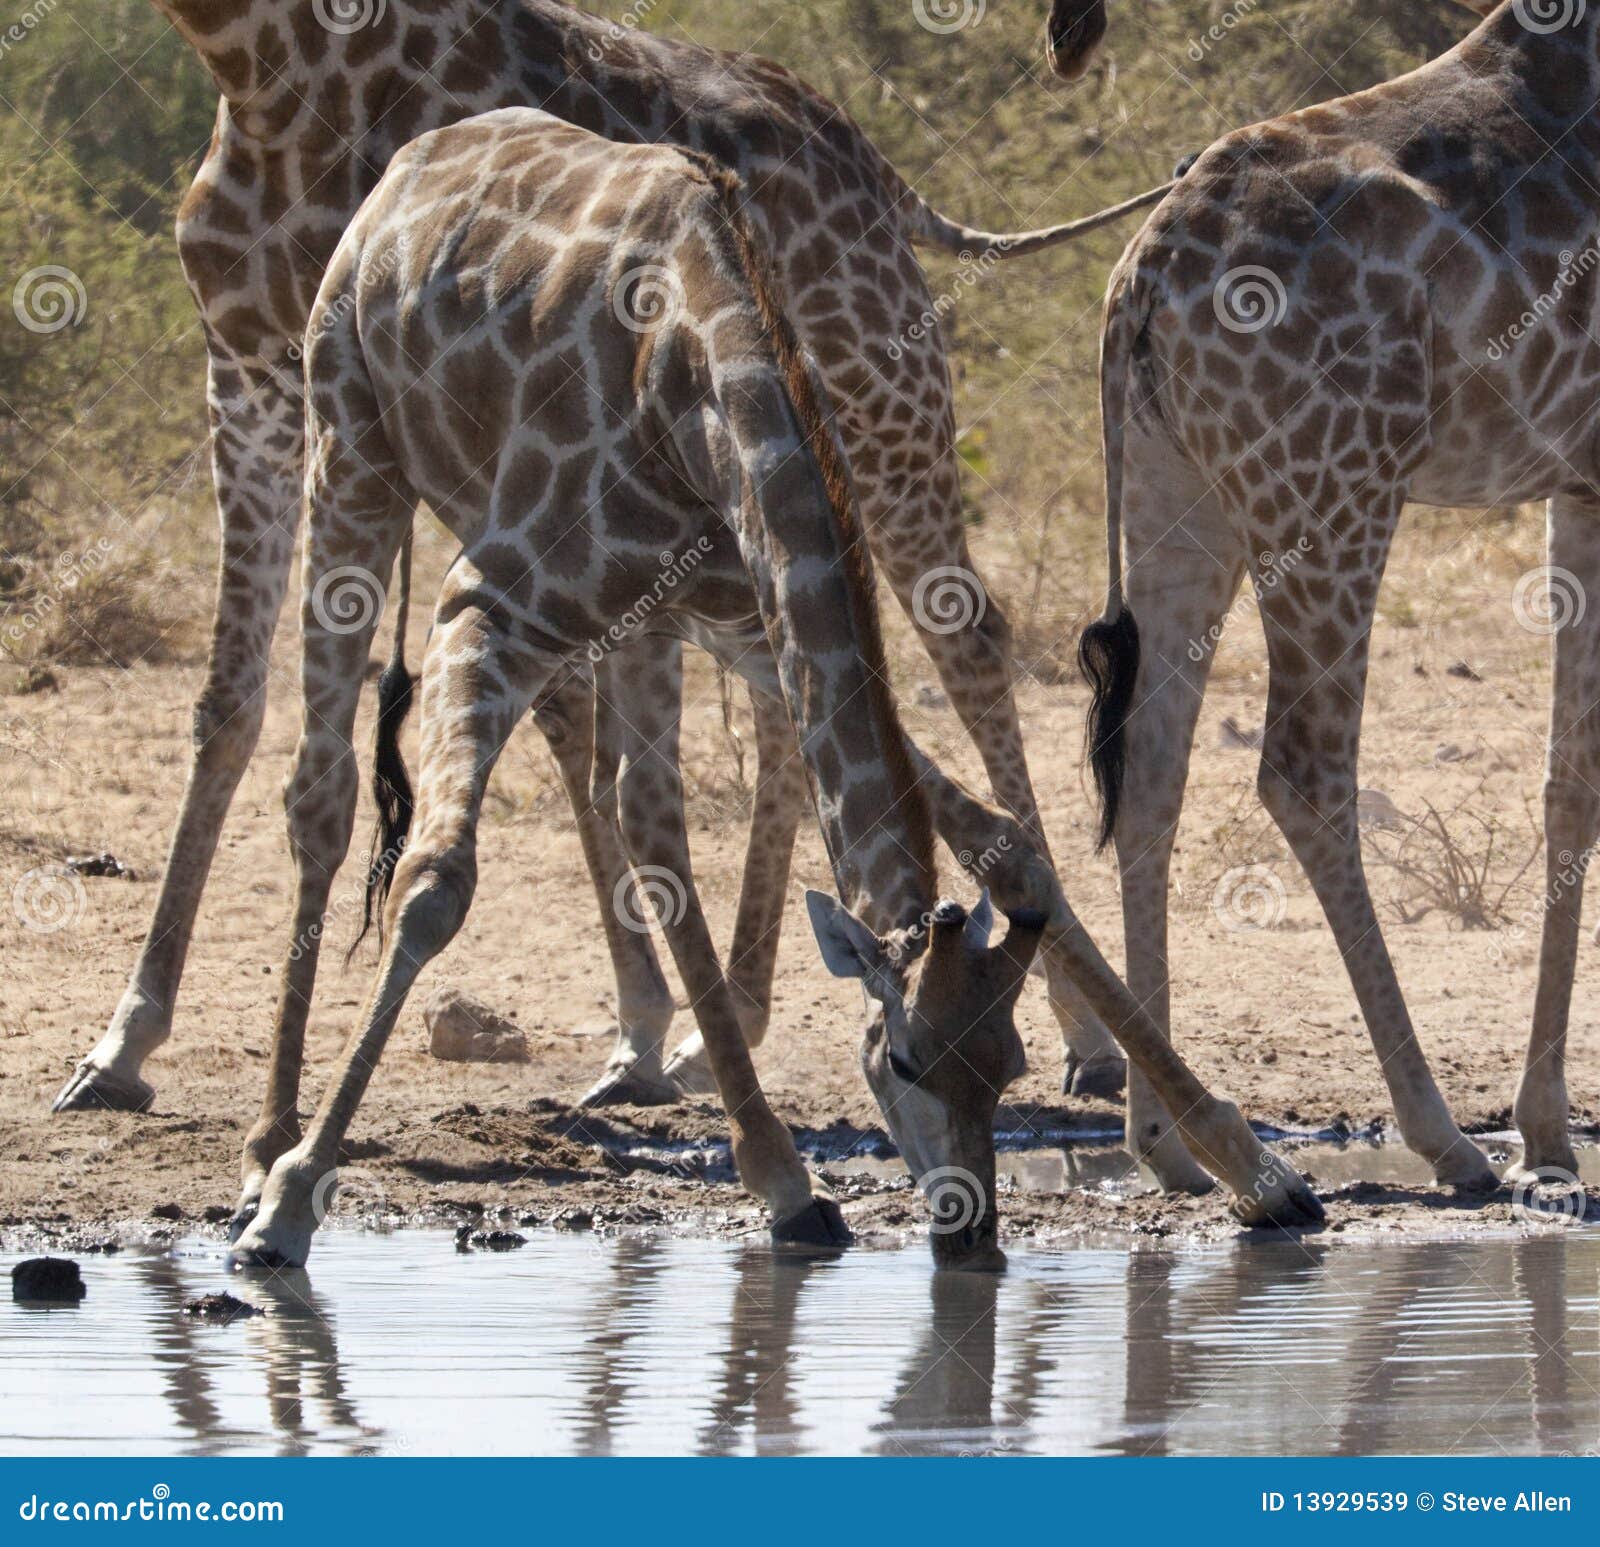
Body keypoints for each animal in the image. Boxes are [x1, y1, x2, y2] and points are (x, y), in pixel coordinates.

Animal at [54, 0, 1165, 1125]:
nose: (1070, 39)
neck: (262, 70)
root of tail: (876, 167)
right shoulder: (253, 376)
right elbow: (230, 708)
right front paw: (123, 1040)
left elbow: (577, 733)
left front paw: (644, 1022)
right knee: (790, 702)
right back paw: (740, 1018)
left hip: (877, 409)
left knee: (964, 641)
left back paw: (1083, 1037)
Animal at [227, 109, 1323, 1269]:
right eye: (902, 1059)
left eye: (1009, 1063)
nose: (971, 1232)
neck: (694, 378)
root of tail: (413, 162)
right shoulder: (486, 602)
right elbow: (436, 883)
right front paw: (290, 1202)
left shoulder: (751, 610)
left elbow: (1003, 841)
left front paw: (1256, 1170)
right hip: (350, 452)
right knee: (321, 792)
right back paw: (264, 1147)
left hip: (664, 615)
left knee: (648, 814)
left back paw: (783, 1177)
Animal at [1076, 0, 1587, 1198]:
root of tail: (1141, 281)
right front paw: (1532, 1128)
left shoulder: (1578, 475)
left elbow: (1566, 781)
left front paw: (1548, 1124)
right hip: (1332, 495)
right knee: (1303, 771)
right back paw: (1439, 1134)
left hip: (1180, 499)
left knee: (1153, 766)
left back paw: (1179, 1139)